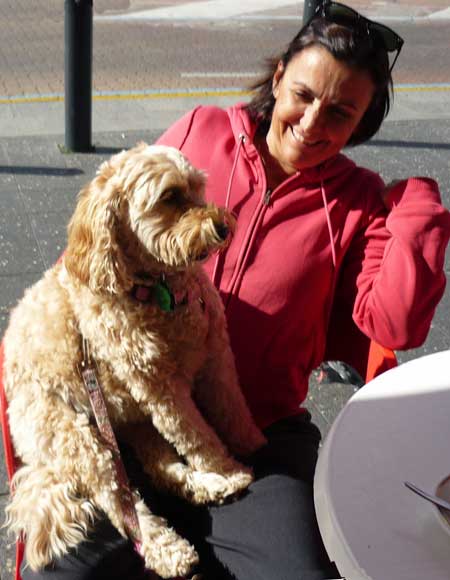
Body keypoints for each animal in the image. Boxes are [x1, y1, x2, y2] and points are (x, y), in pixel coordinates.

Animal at [3, 143, 266, 576]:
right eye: (169, 197)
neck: (163, 292)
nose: (222, 226)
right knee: (120, 502)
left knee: (159, 471)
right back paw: (168, 549)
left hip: (132, 423)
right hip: (80, 439)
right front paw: (224, 464)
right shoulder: (162, 390)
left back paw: (212, 487)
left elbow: (231, 406)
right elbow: (197, 434)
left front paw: (250, 443)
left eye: (197, 187)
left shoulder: (215, 356)